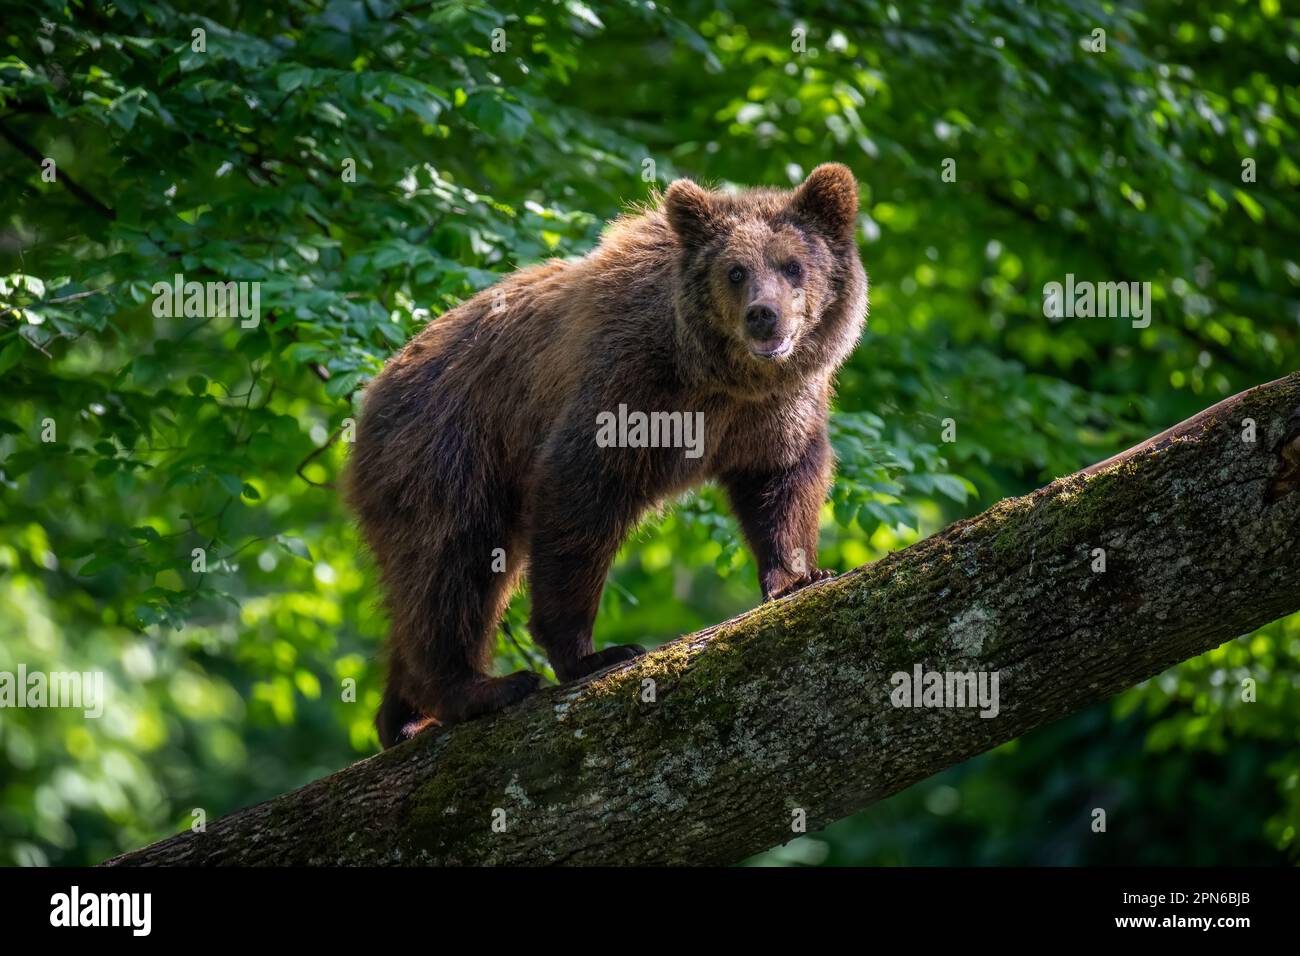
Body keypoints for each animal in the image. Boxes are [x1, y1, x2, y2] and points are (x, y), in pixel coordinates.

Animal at [347, 163, 868, 748]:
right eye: (735, 271)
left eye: (793, 264)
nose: (764, 315)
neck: (717, 377)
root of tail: (376, 389)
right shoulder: (627, 385)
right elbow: (580, 497)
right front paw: (591, 653)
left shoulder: (773, 413)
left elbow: (782, 482)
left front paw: (798, 574)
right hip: (447, 447)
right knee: (453, 564)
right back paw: (478, 688)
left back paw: (403, 716)